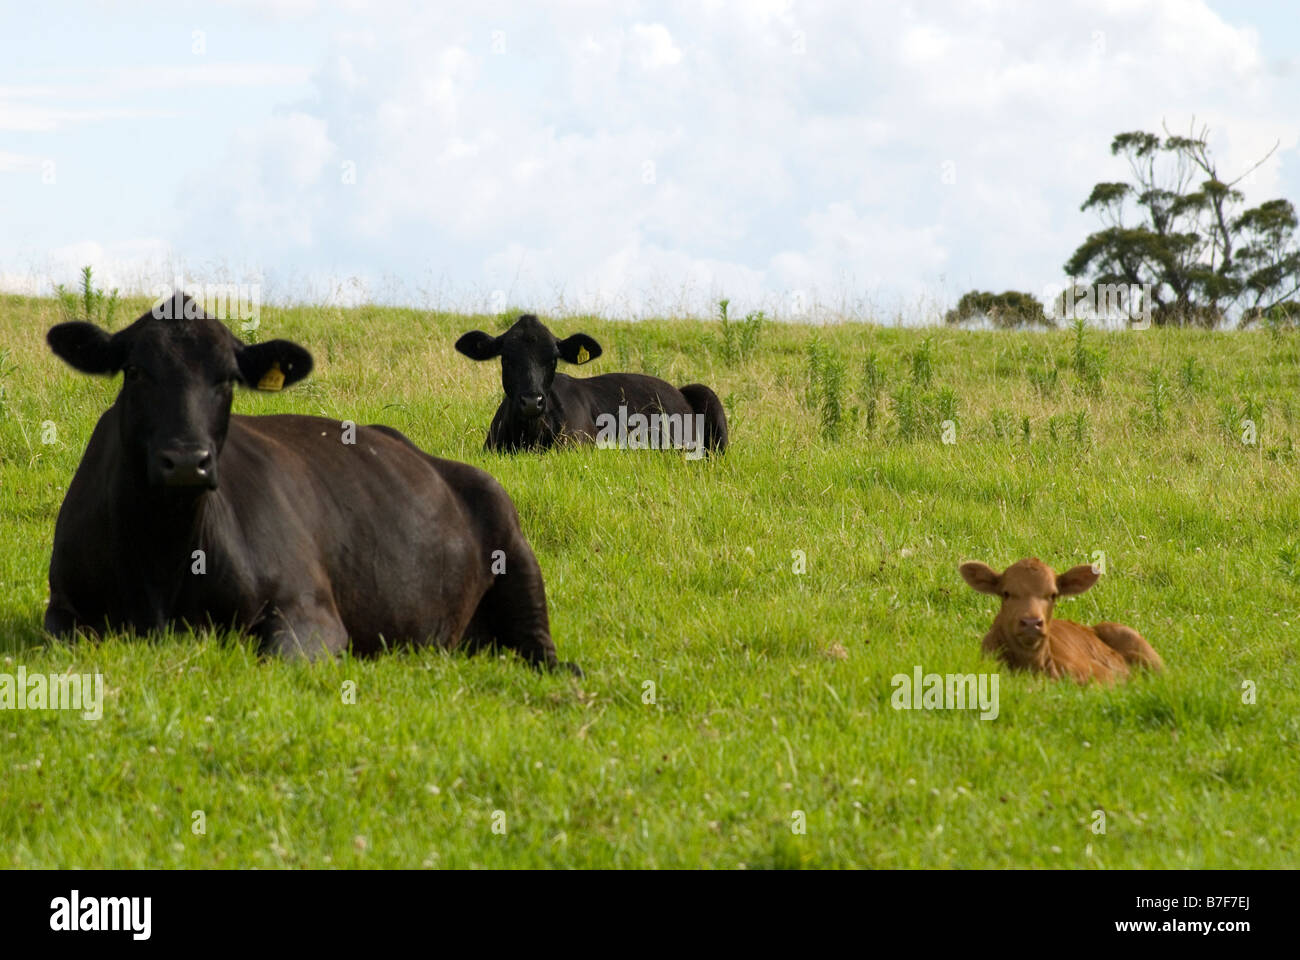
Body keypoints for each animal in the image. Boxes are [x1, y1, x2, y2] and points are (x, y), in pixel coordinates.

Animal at [43, 294, 579, 674]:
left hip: (517, 553)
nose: (187, 462)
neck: (163, 550)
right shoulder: (62, 610)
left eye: (228, 379)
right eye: (134, 371)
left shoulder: (310, 611)